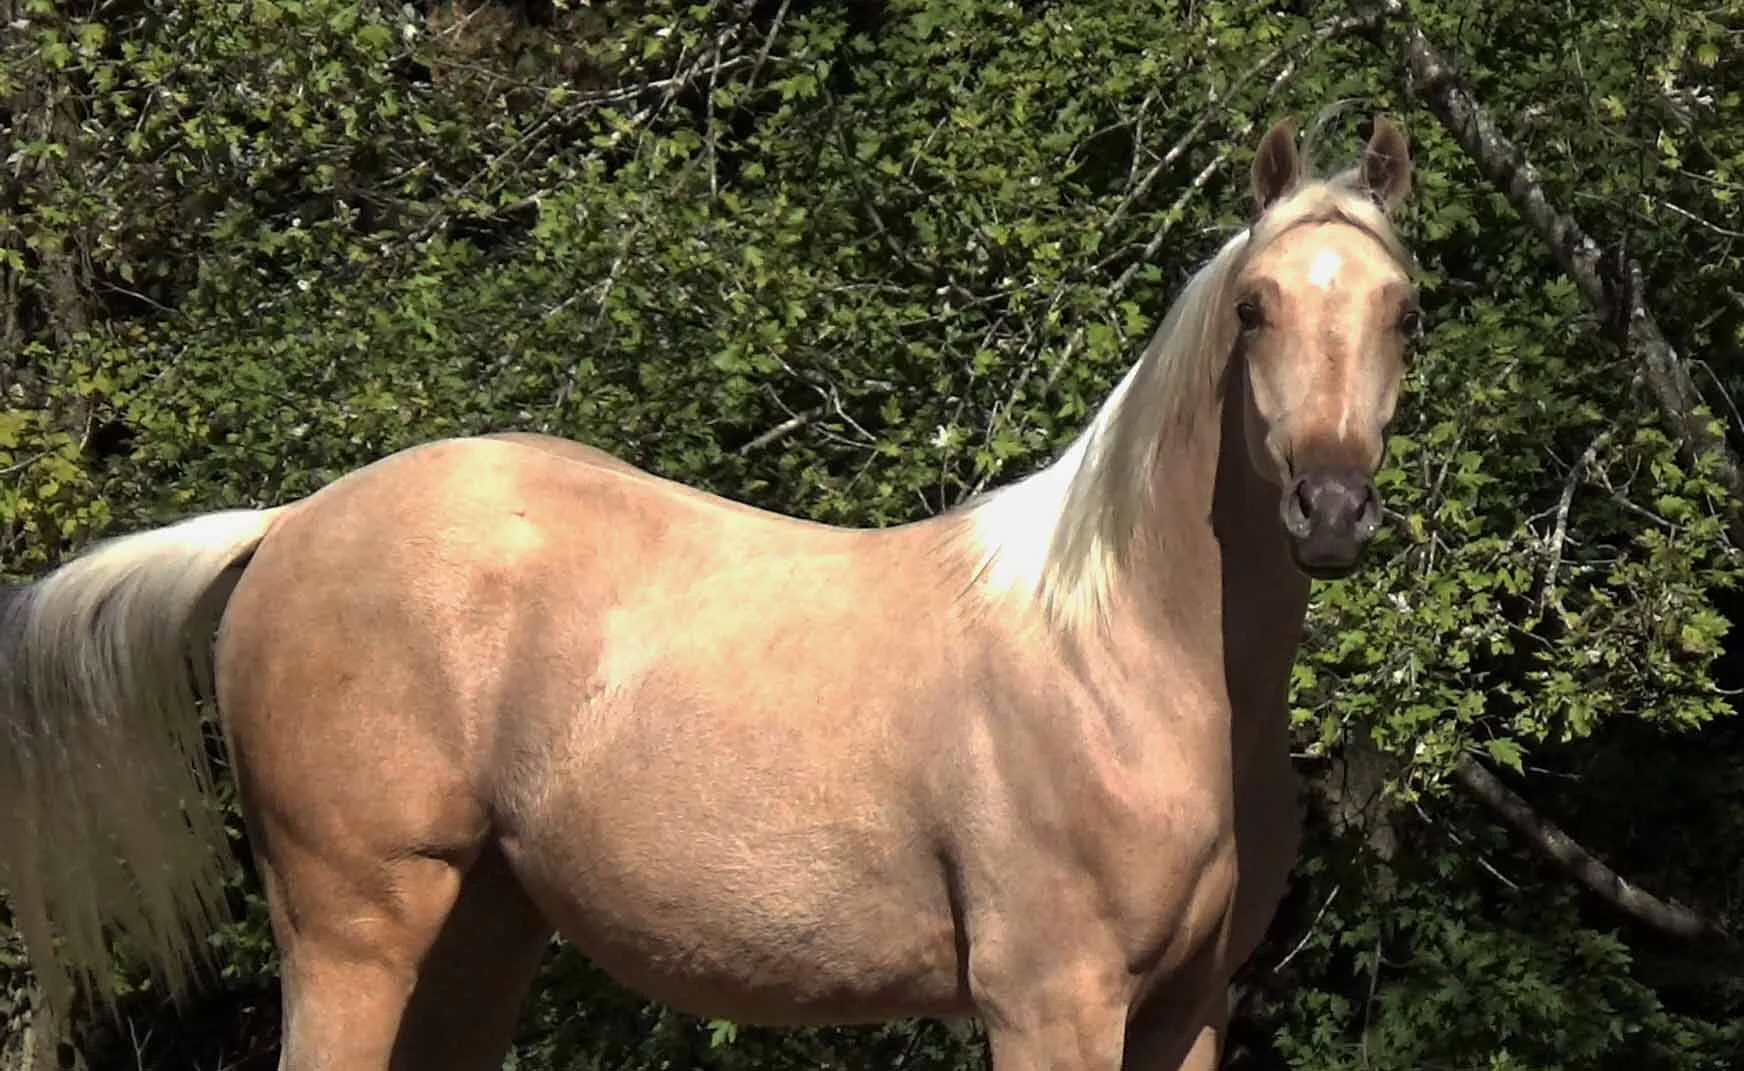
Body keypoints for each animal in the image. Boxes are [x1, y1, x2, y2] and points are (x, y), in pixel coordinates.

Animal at [0, 115, 1418, 1070]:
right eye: (1254, 307)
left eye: (1403, 310)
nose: (1330, 509)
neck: (1117, 661)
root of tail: (290, 524)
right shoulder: (1052, 999)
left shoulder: (1184, 1008)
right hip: (356, 934)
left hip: (477, 938)